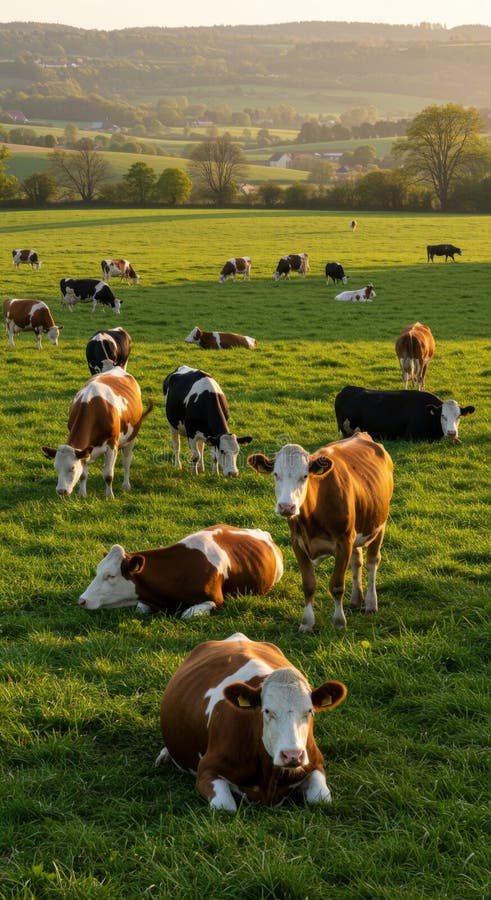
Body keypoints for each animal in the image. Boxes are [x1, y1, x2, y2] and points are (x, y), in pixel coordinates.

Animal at [42, 368, 153, 498]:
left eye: (72, 468)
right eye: (56, 468)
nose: (61, 491)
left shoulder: (112, 445)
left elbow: (108, 475)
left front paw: (109, 496)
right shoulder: (85, 450)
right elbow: (83, 475)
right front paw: (82, 494)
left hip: (131, 438)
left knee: (126, 462)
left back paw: (126, 485)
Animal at [155, 633, 347, 811]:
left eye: (309, 711)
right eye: (267, 711)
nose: (292, 755)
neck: (269, 781)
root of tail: (237, 636)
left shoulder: (316, 764)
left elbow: (321, 800)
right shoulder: (207, 769)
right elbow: (225, 806)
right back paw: (164, 755)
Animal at [248, 432, 393, 631]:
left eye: (305, 476)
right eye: (276, 474)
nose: (286, 507)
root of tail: (360, 435)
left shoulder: (343, 541)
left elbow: (337, 586)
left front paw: (339, 622)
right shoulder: (298, 543)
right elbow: (309, 585)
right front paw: (307, 623)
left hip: (379, 526)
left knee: (372, 562)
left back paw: (371, 603)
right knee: (357, 561)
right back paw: (356, 599)